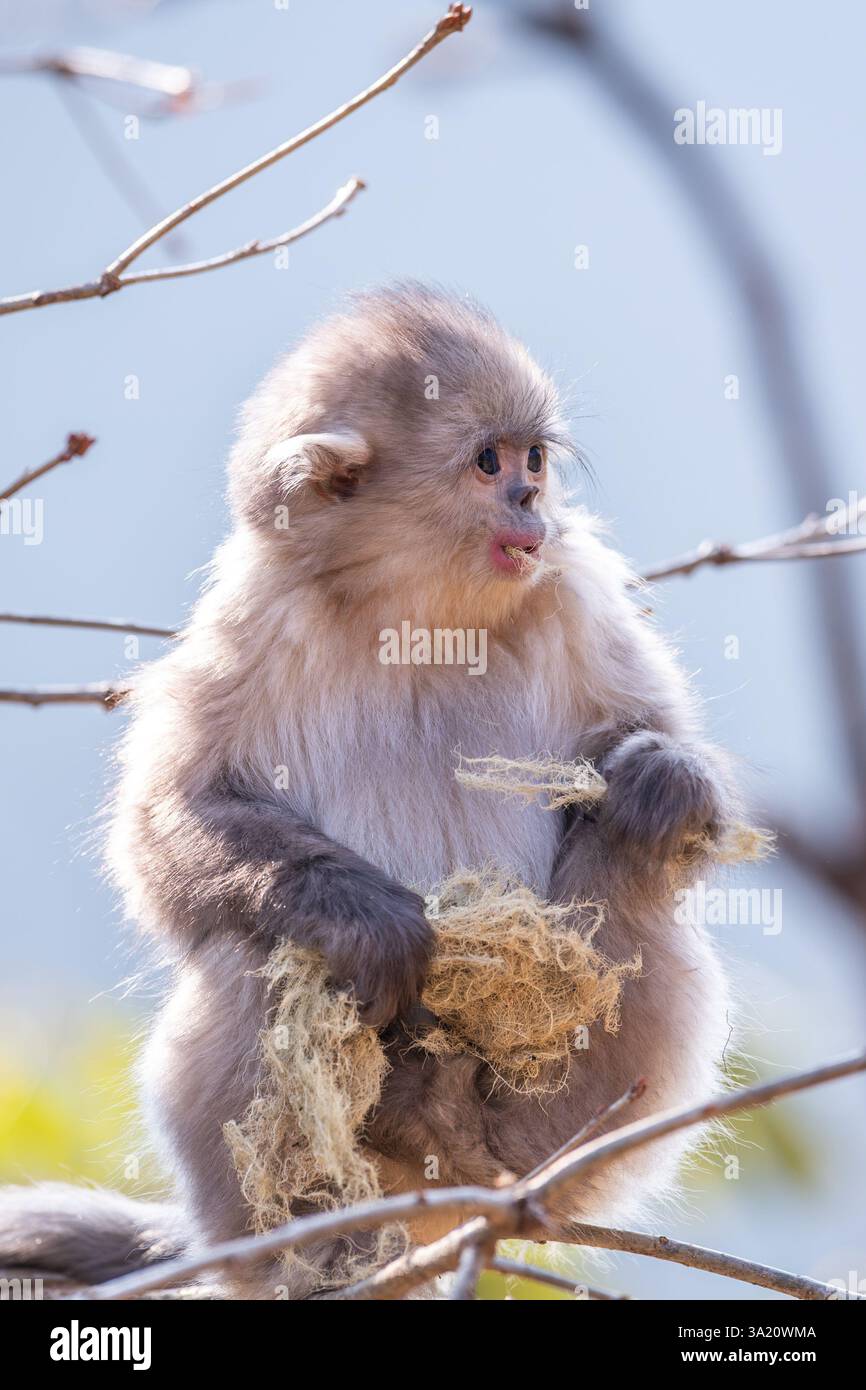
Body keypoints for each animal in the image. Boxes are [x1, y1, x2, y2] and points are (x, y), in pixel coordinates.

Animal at [0, 283, 736, 1296]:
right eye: (489, 461)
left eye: (535, 459)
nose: (529, 501)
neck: (419, 613)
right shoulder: (256, 606)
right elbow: (171, 817)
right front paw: (365, 919)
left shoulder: (573, 584)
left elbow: (684, 791)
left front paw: (662, 777)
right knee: (254, 949)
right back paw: (329, 1234)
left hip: (602, 1115)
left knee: (636, 871)